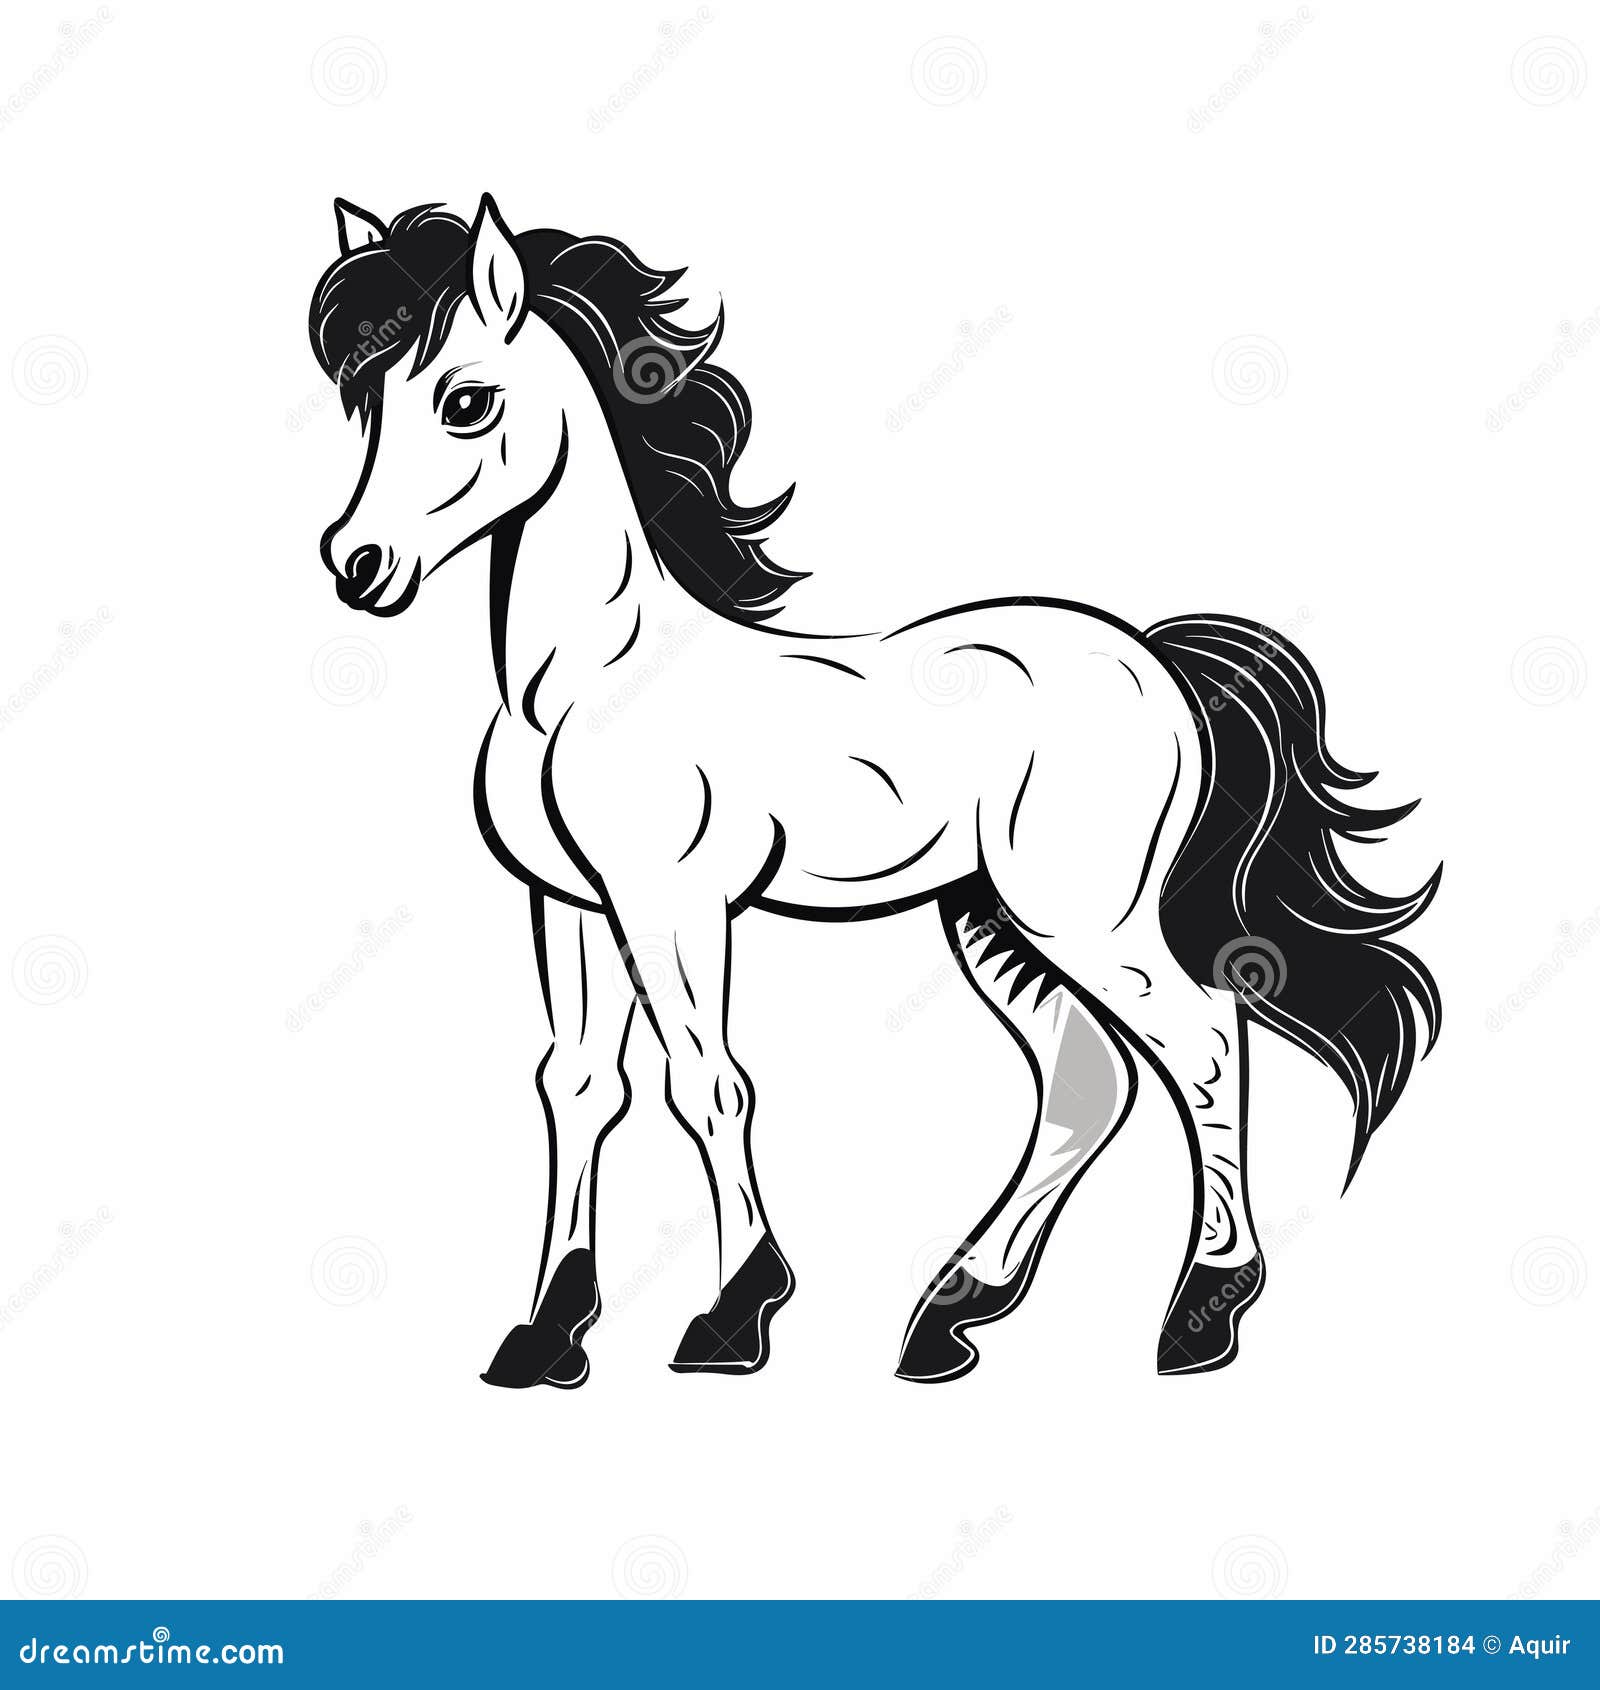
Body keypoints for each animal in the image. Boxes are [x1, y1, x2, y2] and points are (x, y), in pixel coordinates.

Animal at [308, 194, 1441, 1388]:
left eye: (465, 400)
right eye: (370, 406)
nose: (358, 565)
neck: (588, 678)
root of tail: (1154, 660)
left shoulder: (674, 901)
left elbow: (706, 1082)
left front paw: (736, 1313)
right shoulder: (571, 903)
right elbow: (577, 1087)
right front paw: (543, 1333)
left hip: (1085, 914)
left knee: (1205, 1042)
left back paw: (1199, 1313)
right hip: (990, 917)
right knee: (1087, 1080)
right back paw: (953, 1312)